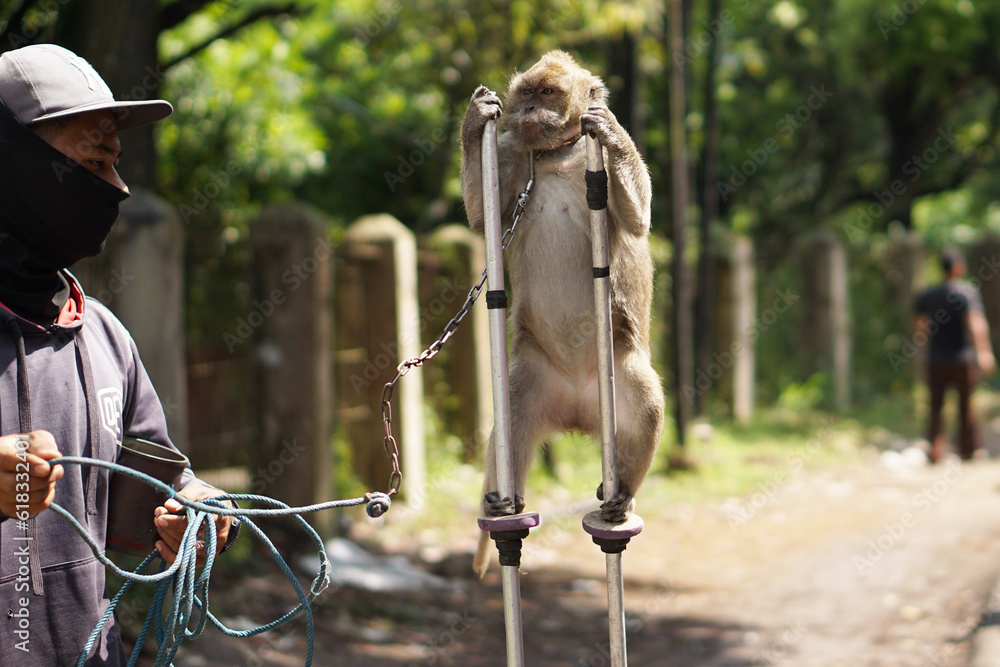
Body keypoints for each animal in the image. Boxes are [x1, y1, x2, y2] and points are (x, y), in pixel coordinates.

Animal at [461, 51, 665, 576]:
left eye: (549, 93)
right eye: (527, 93)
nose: (531, 108)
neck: (555, 154)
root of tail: (576, 411)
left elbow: (638, 219)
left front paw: (608, 127)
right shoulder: (510, 153)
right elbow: (481, 220)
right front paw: (474, 120)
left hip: (619, 376)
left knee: (648, 406)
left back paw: (622, 498)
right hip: (533, 378)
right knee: (509, 419)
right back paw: (502, 505)